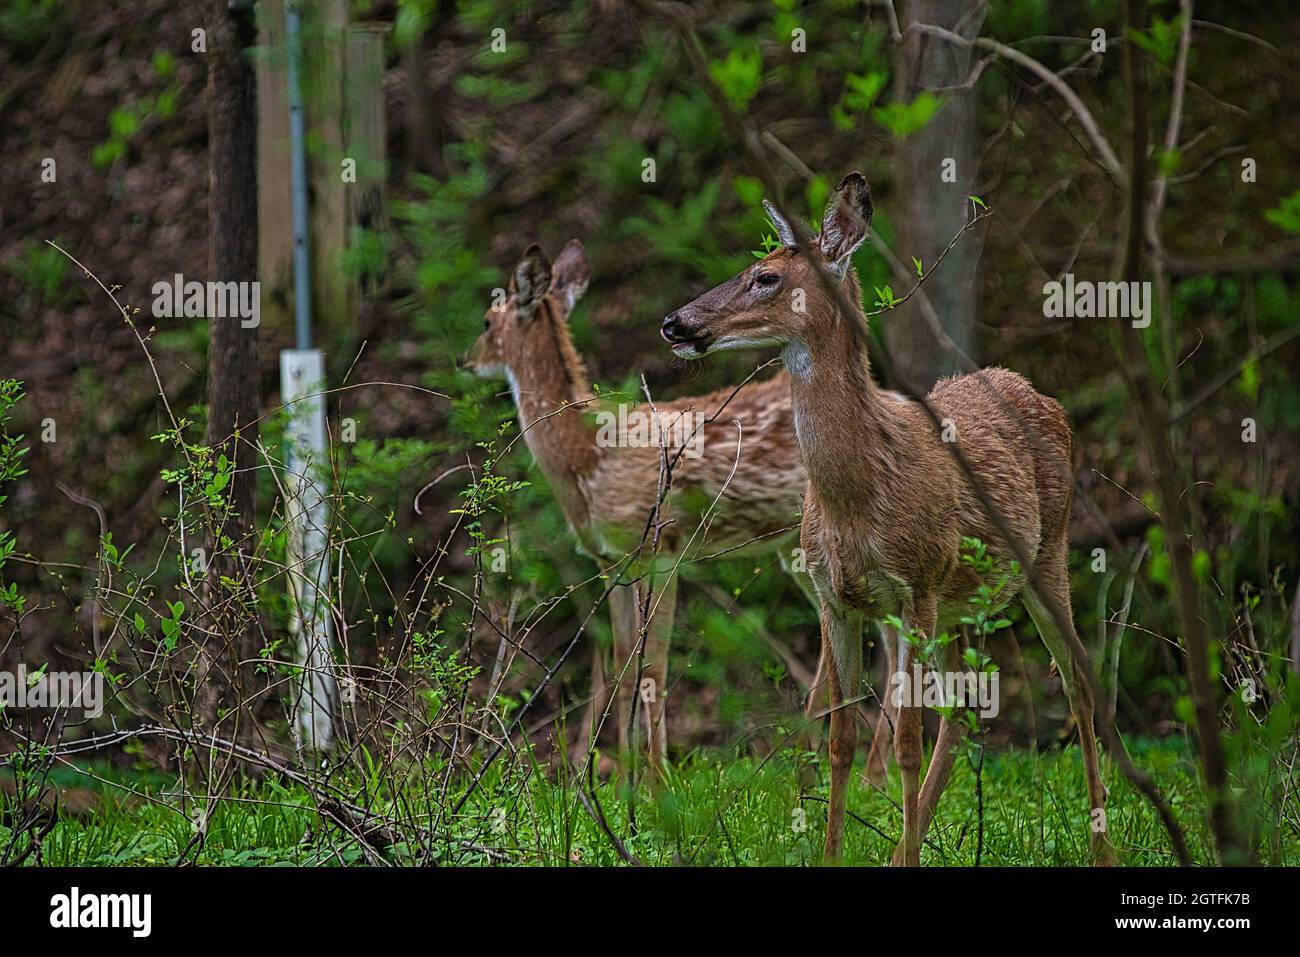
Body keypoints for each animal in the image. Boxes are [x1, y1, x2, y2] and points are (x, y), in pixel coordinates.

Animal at [464, 238, 854, 771]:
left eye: (486, 321)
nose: (465, 360)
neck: (589, 458)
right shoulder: (611, 562)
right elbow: (625, 663)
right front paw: (622, 774)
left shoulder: (659, 547)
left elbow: (654, 666)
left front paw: (656, 777)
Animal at [659, 172, 1115, 866]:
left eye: (765, 276)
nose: (674, 322)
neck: (855, 498)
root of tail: (1039, 393)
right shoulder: (835, 598)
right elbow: (841, 739)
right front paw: (831, 854)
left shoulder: (915, 586)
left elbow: (903, 742)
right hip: (962, 605)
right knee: (965, 711)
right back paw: (908, 843)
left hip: (1048, 552)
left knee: (1076, 682)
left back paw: (1101, 847)